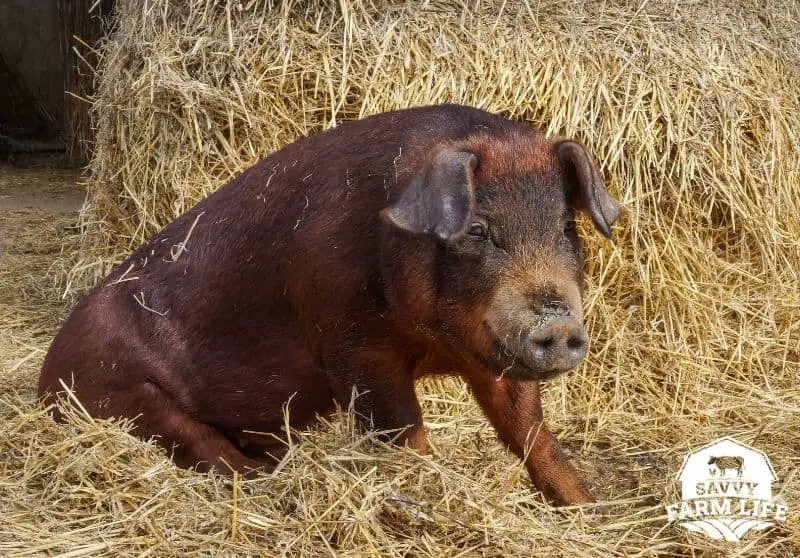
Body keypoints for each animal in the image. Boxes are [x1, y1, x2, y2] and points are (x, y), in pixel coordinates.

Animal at [38, 104, 623, 505]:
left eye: (565, 228)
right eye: (478, 230)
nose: (558, 323)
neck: (434, 345)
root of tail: (44, 379)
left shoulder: (494, 355)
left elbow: (531, 432)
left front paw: (587, 507)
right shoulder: (353, 343)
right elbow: (401, 430)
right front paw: (419, 495)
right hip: (132, 396)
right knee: (210, 453)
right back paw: (266, 485)